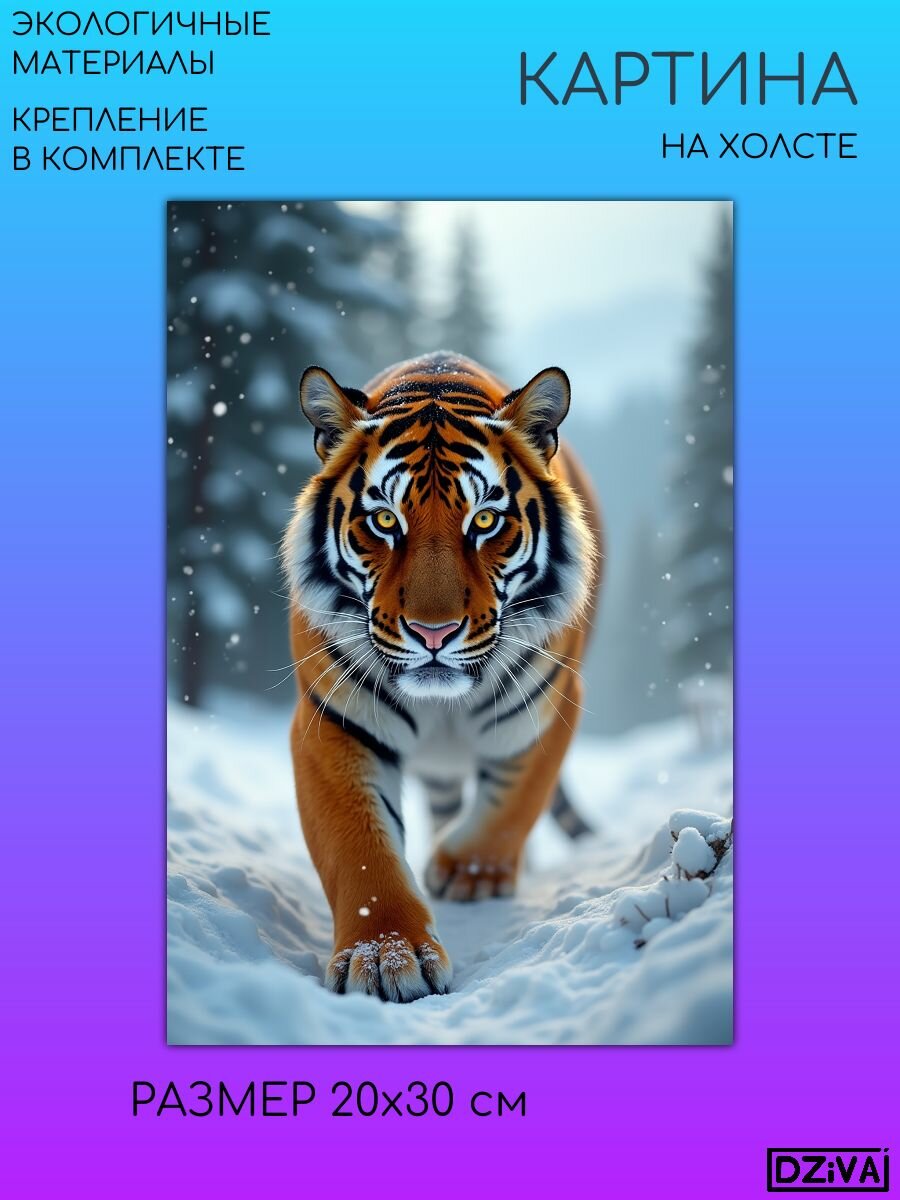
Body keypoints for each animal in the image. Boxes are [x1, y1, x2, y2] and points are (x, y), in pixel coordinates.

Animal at [282, 351, 602, 1002]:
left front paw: (468, 876)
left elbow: (512, 805)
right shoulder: (332, 722)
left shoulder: (550, 705)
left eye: (485, 520)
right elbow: (360, 848)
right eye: (384, 520)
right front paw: (385, 954)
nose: (434, 633)